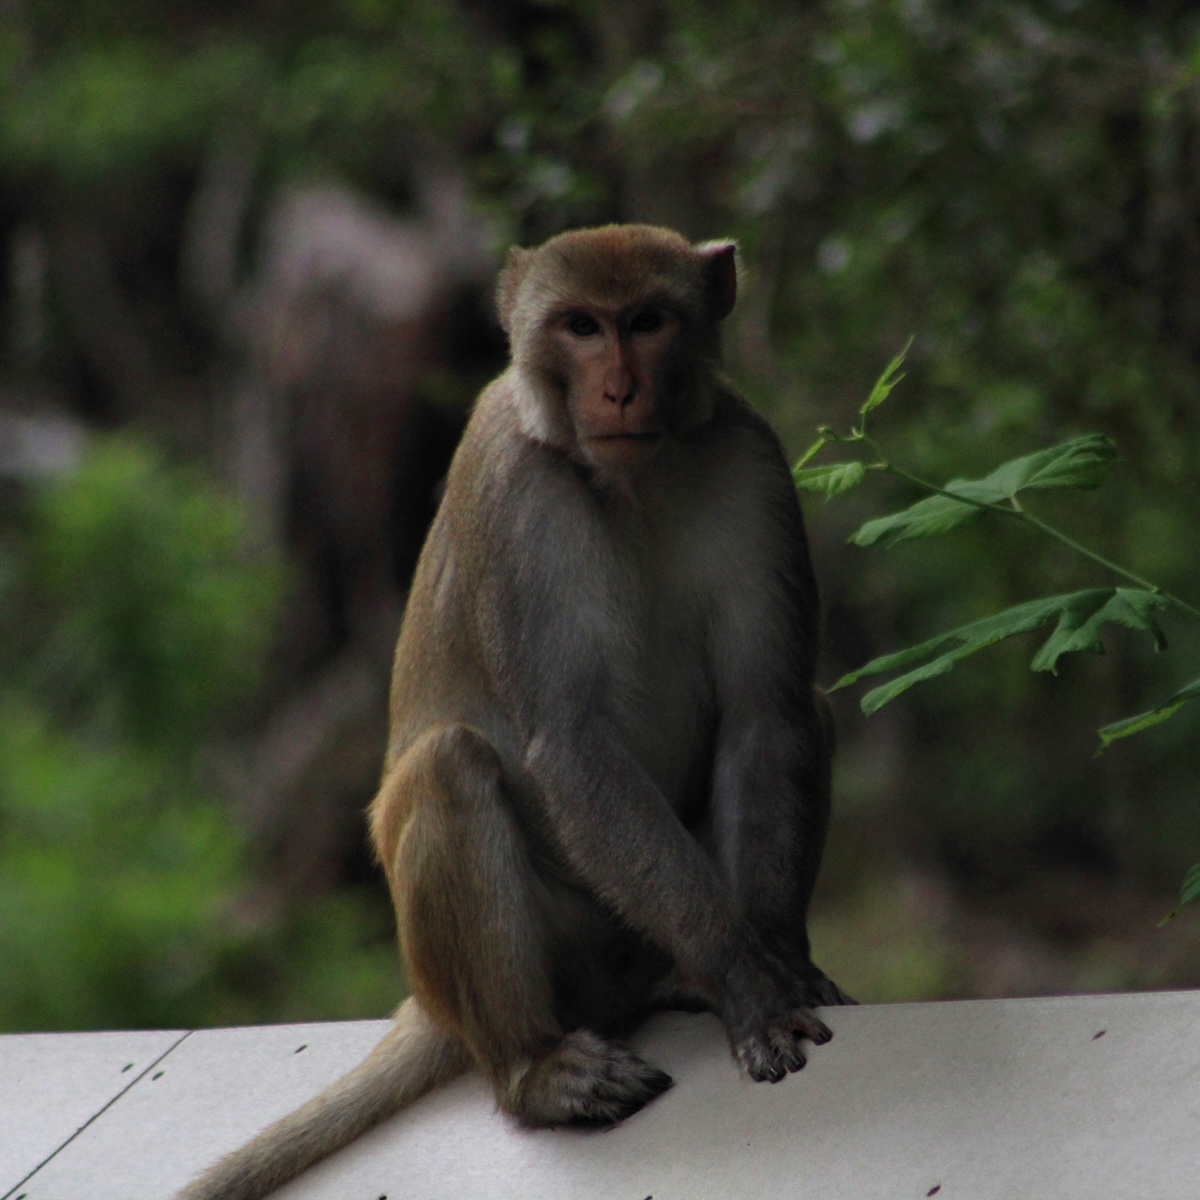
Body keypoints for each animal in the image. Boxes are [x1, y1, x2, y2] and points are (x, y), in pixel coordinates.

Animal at [178, 224, 851, 1200]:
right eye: (580, 326)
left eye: (647, 321)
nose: (619, 387)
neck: (632, 479)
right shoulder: (515, 490)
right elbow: (570, 746)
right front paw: (743, 979)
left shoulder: (748, 459)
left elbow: (767, 715)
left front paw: (778, 964)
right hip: (559, 952)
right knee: (450, 766)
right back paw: (537, 1069)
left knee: (811, 710)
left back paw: (677, 985)